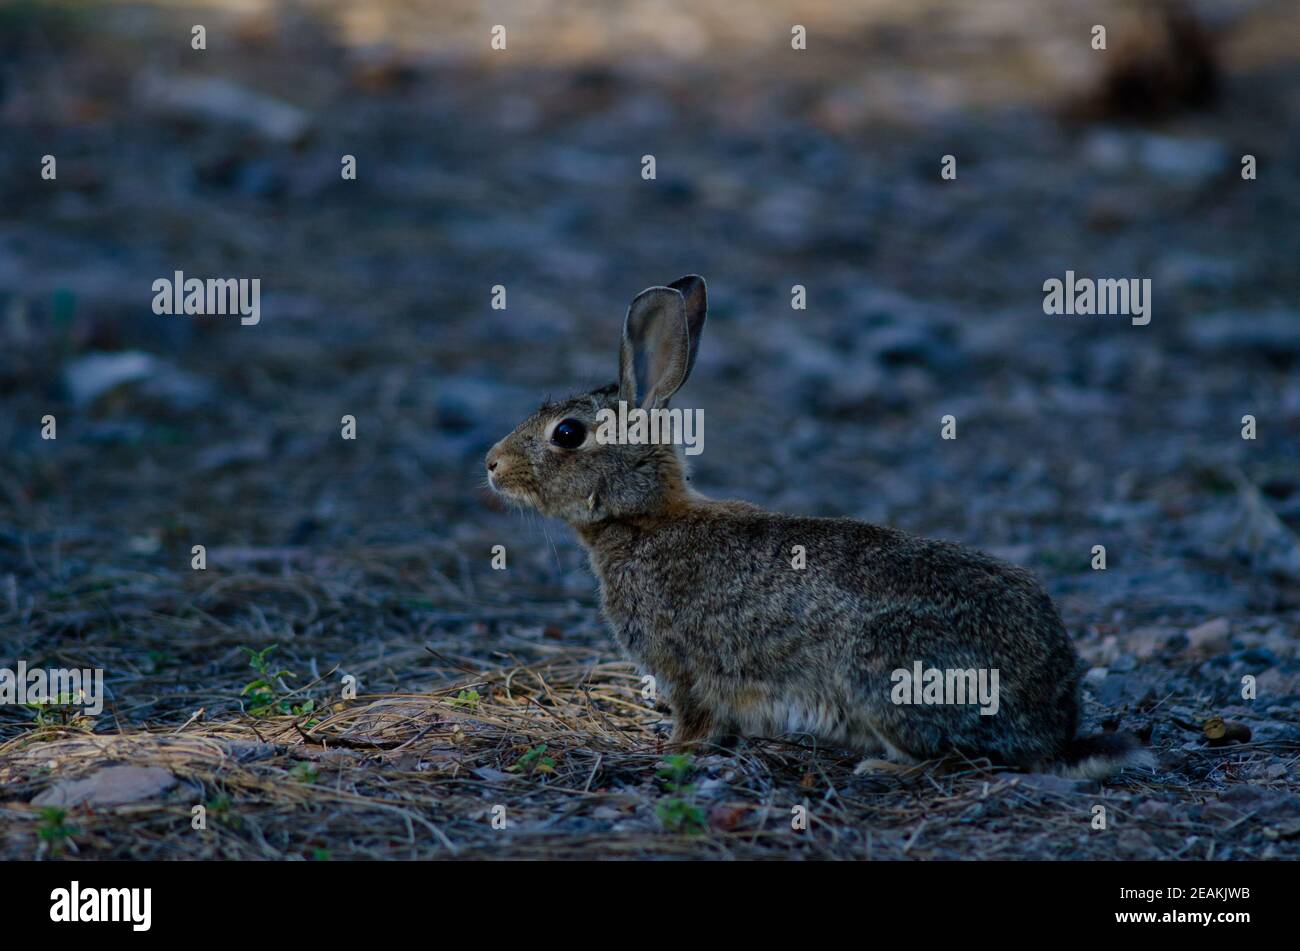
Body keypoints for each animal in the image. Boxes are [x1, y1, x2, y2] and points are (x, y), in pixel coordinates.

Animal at [485, 275, 1153, 779]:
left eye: (567, 434)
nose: (492, 464)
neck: (641, 518)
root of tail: (1051, 725)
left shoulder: (686, 670)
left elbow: (696, 721)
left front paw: (672, 750)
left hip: (888, 674)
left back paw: (880, 767)